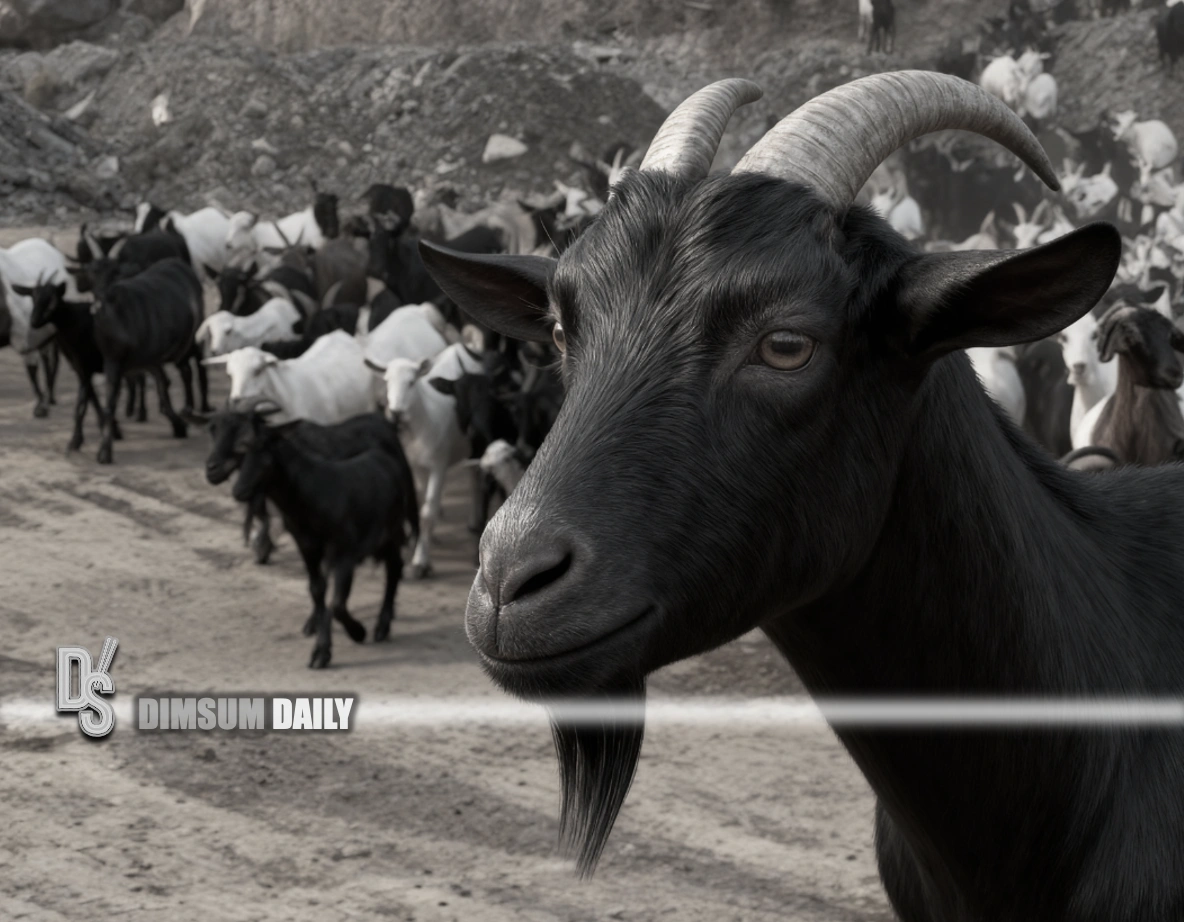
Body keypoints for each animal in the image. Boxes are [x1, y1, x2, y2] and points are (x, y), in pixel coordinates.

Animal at [230, 406, 416, 667]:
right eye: (244, 453)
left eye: (267, 457)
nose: (238, 491)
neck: (310, 498)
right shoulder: (307, 546)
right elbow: (317, 589)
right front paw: (321, 650)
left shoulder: (345, 549)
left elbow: (336, 603)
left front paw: (357, 632)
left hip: (391, 530)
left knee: (395, 567)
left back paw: (382, 626)